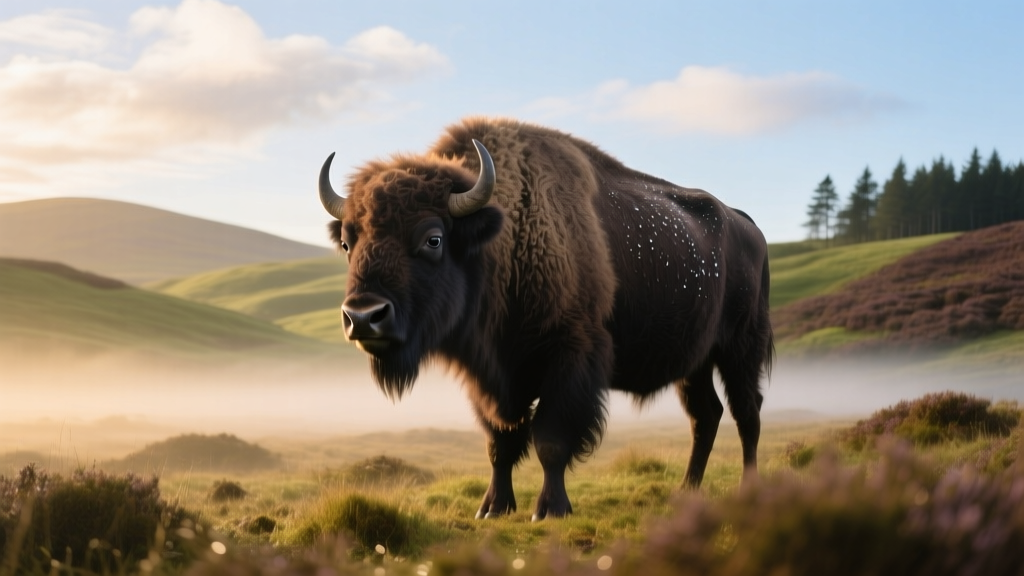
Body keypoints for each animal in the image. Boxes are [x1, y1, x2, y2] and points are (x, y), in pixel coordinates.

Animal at [318, 118, 773, 520]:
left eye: (433, 239)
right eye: (348, 242)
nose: (363, 316)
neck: (505, 234)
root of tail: (746, 224)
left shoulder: (569, 358)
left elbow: (550, 440)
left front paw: (549, 510)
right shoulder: (489, 376)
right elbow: (500, 443)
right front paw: (492, 508)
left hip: (740, 349)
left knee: (747, 412)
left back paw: (749, 489)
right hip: (695, 363)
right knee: (705, 416)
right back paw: (686, 491)